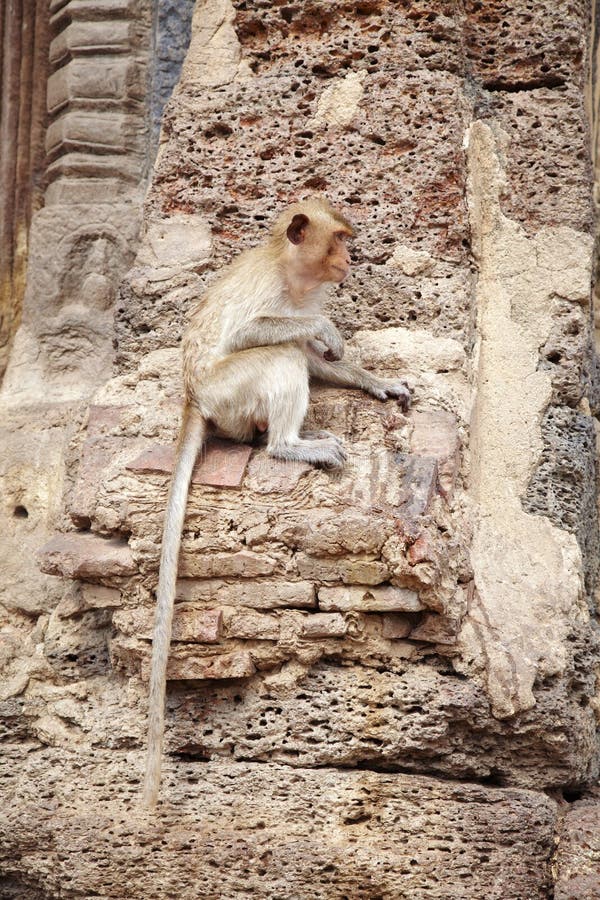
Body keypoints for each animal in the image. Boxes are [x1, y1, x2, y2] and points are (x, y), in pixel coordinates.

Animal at [143, 197, 411, 807]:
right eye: (339, 239)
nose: (351, 258)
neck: (293, 274)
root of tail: (193, 399)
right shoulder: (273, 292)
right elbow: (264, 332)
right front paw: (326, 330)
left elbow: (318, 359)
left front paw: (375, 381)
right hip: (227, 392)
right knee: (278, 353)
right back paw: (291, 444)